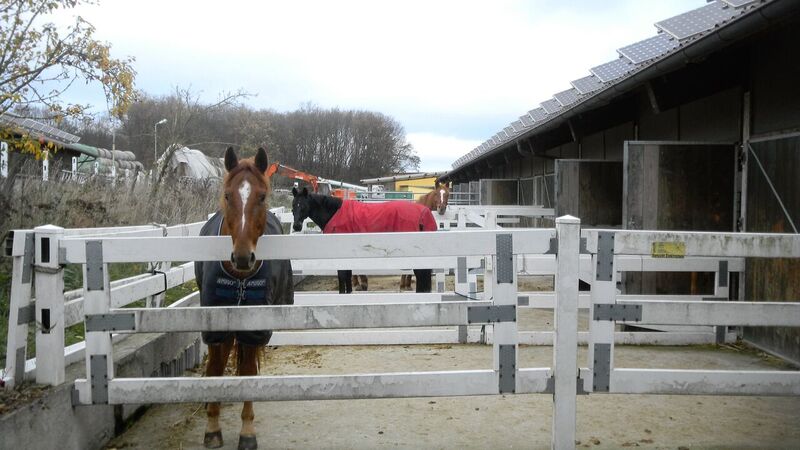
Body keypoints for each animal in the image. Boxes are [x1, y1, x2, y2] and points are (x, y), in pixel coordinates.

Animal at [195, 146, 294, 450]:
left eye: (261, 196)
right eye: (228, 195)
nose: (241, 257)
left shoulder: (254, 327)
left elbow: (248, 372)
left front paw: (247, 432)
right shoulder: (215, 325)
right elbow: (214, 370)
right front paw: (212, 427)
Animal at [291, 187, 436, 293]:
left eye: (303, 206)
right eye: (293, 206)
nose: (296, 226)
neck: (334, 214)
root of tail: (424, 212)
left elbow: (342, 277)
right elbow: (348, 277)